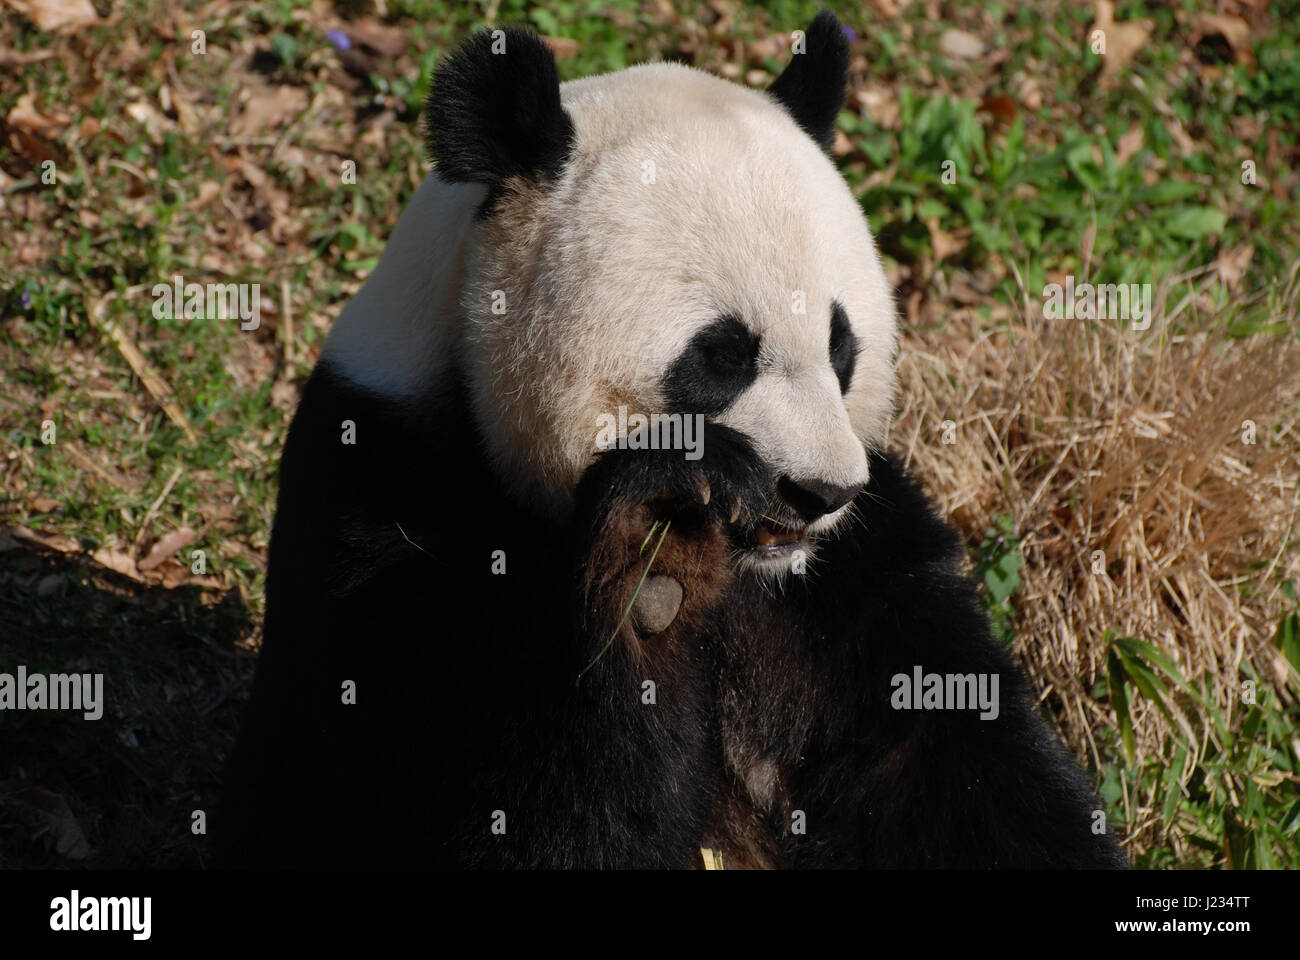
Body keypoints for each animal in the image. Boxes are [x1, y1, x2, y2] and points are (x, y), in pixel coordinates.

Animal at [218, 11, 1126, 869]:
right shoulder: (375, 483)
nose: (818, 493)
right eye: (721, 356)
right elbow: (448, 791)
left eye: (842, 346)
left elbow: (955, 762)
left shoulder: (859, 576)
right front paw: (652, 565)